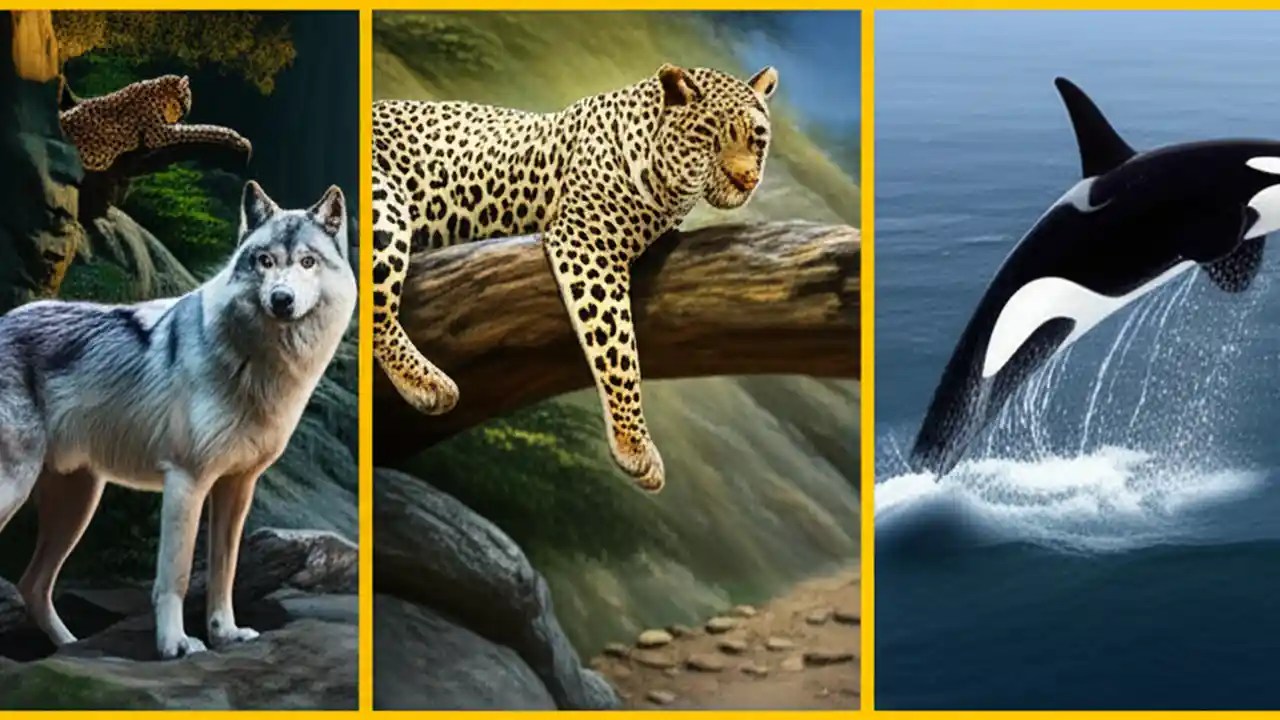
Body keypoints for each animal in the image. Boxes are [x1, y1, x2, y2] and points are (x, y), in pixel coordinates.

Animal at [0, 181, 357, 659]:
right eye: (265, 261)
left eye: (307, 262)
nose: (281, 300)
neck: (258, 368)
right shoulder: (187, 480)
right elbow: (178, 575)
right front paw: (176, 644)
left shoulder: (236, 487)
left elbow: (225, 570)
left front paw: (225, 633)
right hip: (21, 488)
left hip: (79, 504)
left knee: (33, 584)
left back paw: (71, 646)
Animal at [373, 63, 779, 492]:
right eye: (710, 136)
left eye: (757, 138)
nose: (748, 181)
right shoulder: (588, 245)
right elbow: (619, 350)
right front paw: (633, 443)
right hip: (385, 202)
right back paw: (426, 382)